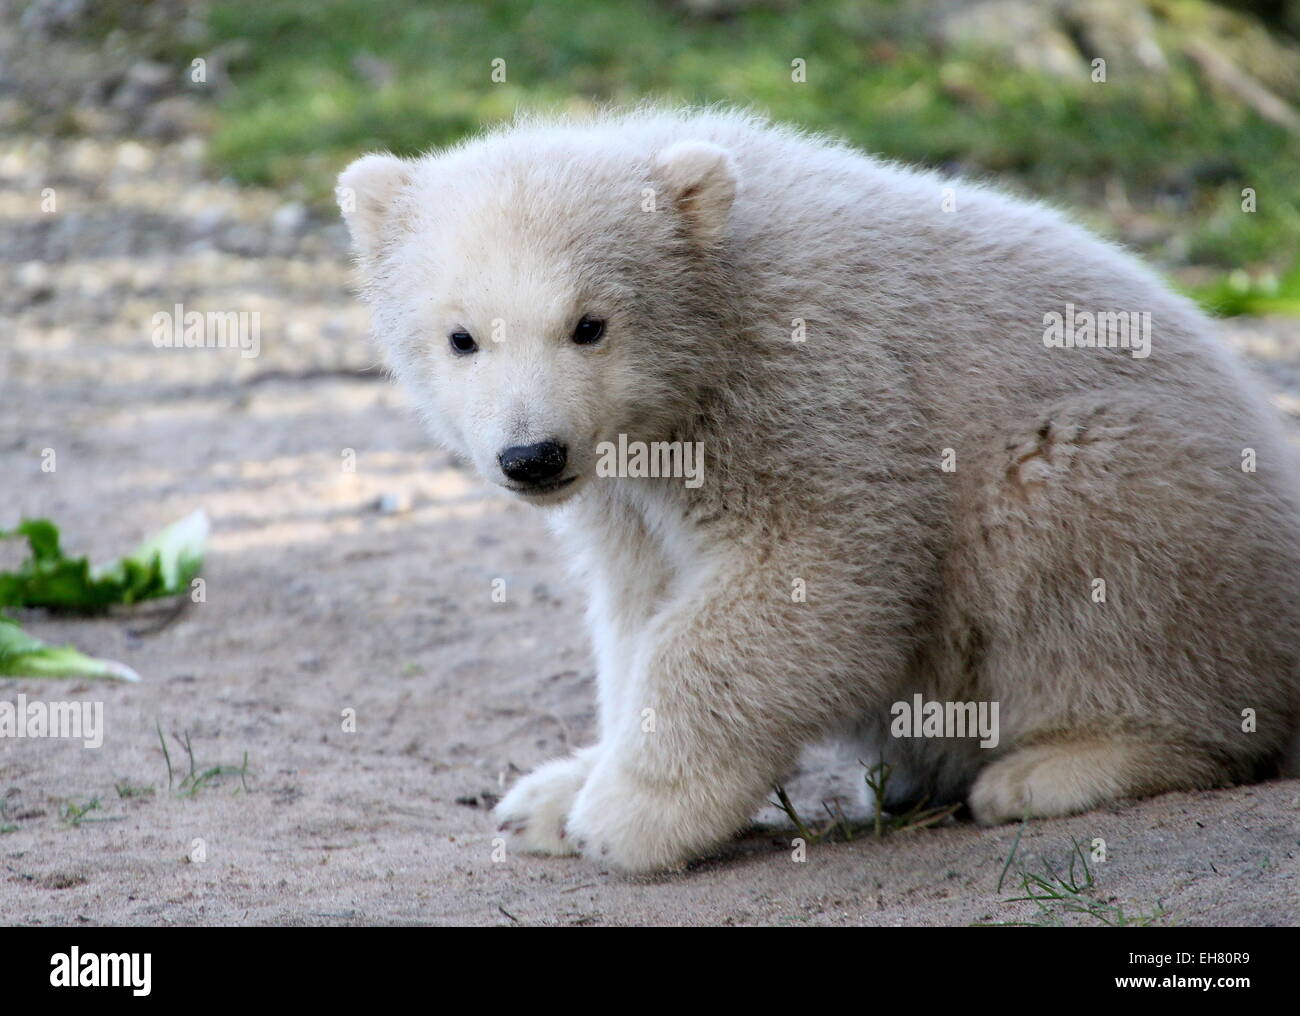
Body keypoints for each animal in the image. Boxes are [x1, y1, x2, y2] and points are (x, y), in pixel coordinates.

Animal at [337, 107, 1300, 874]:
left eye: (590, 325)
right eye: (461, 337)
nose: (531, 456)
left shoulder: (815, 386)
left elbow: (819, 577)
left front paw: (625, 817)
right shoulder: (629, 482)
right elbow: (638, 601)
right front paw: (549, 795)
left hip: (1148, 492)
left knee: (1065, 519)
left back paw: (1051, 769)